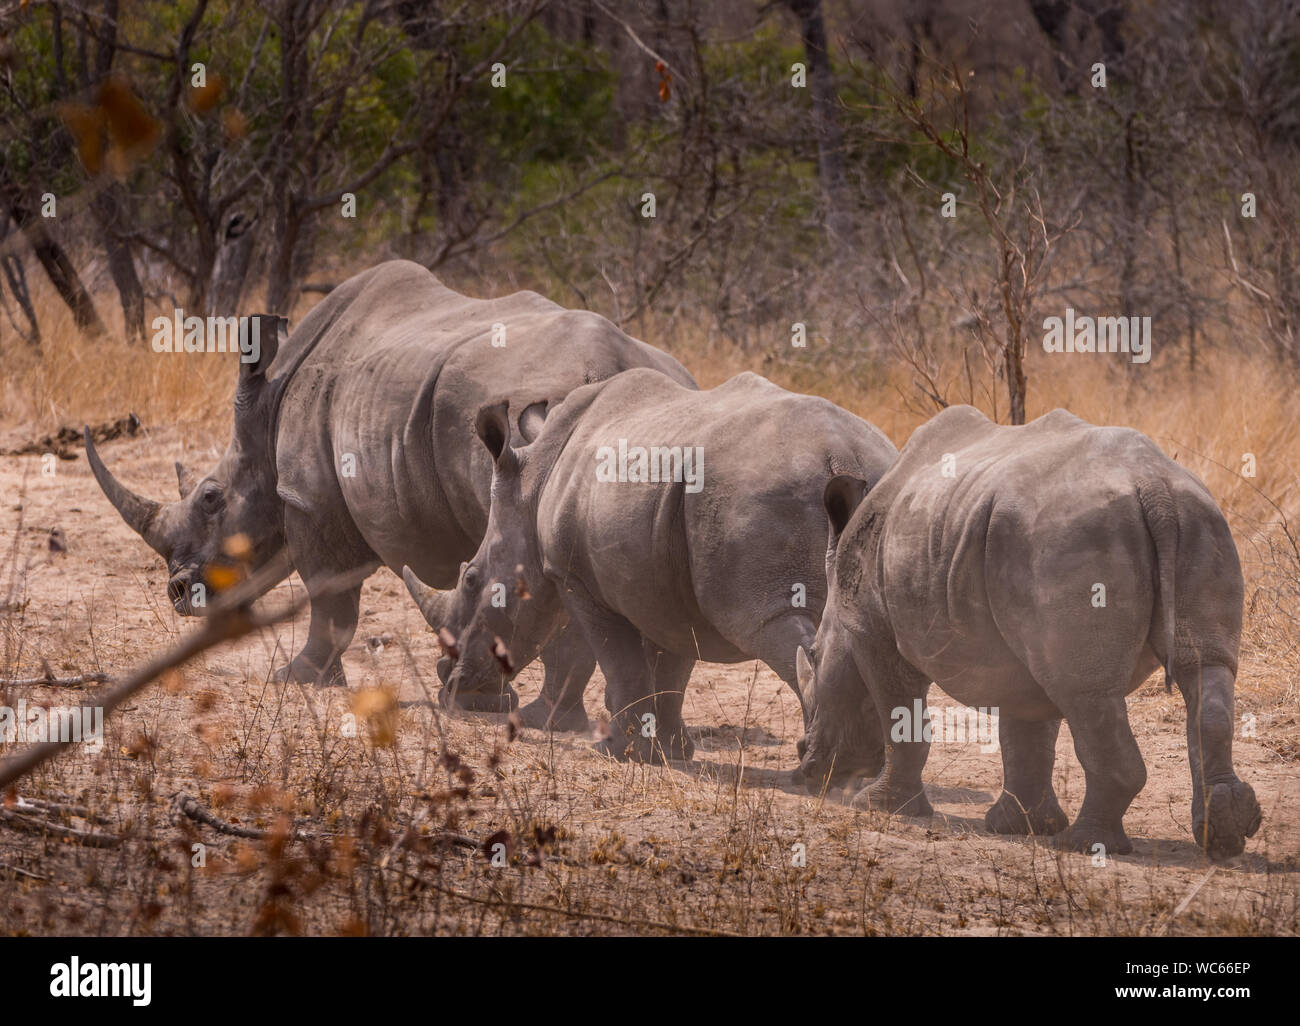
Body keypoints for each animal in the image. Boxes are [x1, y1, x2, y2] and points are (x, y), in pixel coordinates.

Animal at [85, 260, 695, 704]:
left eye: (211, 498)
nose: (177, 593)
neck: (269, 409)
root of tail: (612, 371)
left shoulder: (310, 498)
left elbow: (331, 601)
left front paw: (298, 678)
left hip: (530, 409)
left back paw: (508, 709)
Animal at [402, 369, 898, 760]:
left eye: (471, 579)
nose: (451, 680)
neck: (535, 484)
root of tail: (842, 455)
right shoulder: (666, 577)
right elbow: (672, 663)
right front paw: (672, 751)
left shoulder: (575, 578)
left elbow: (620, 659)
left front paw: (619, 752)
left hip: (761, 500)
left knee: (776, 629)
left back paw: (830, 772)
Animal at [795, 404, 1262, 859]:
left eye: (814, 655)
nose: (805, 764)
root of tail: (1154, 487)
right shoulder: (1019, 645)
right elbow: (1027, 733)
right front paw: (1019, 827)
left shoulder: (871, 631)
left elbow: (902, 718)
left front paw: (877, 807)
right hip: (1194, 520)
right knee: (1203, 669)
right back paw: (1225, 836)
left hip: (1074, 537)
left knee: (1086, 693)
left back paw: (1084, 846)